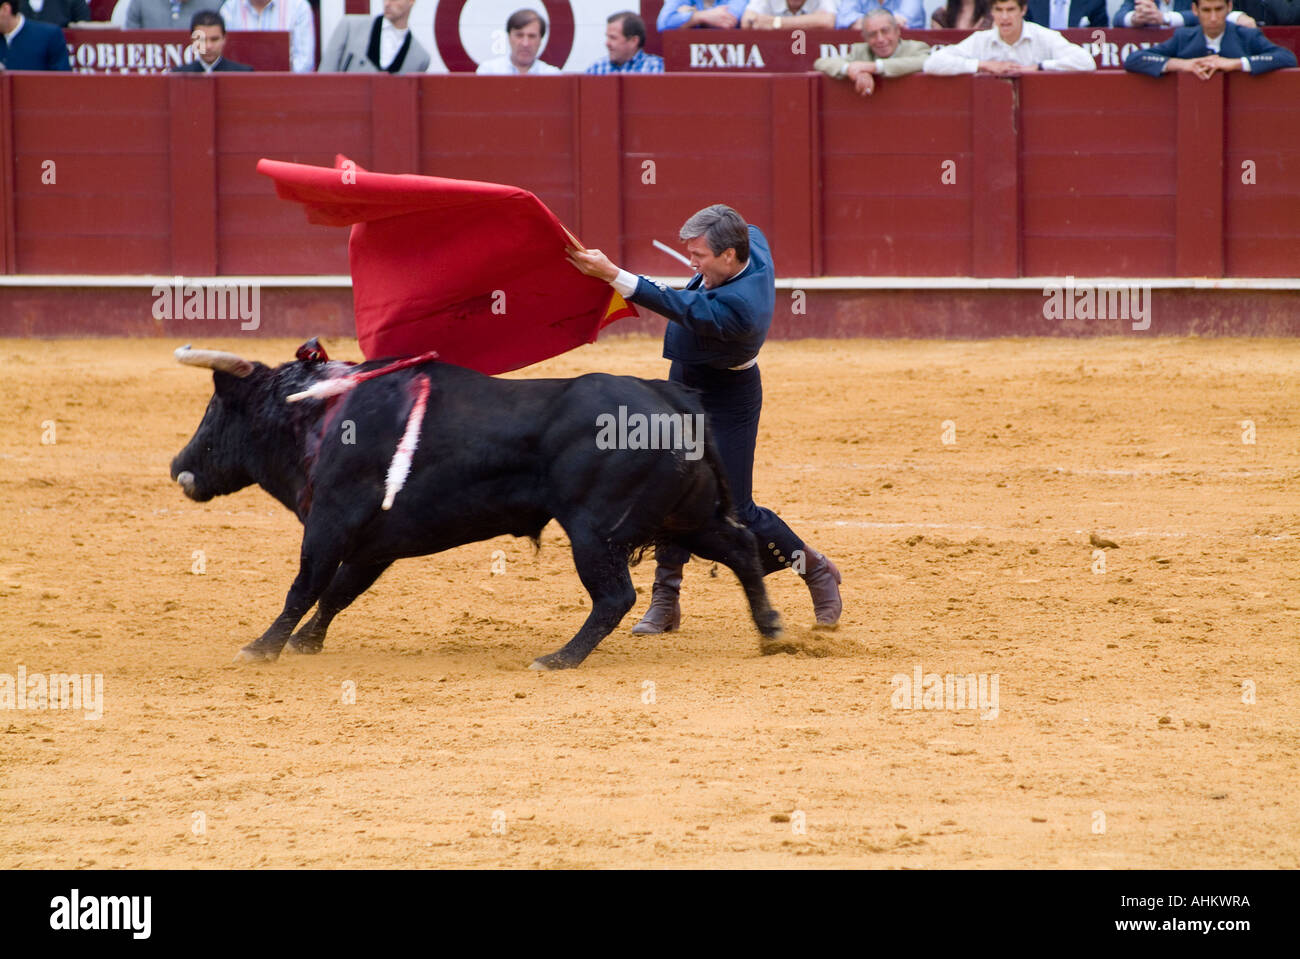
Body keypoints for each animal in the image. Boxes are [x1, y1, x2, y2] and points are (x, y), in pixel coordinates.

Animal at [169, 343, 783, 669]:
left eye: (218, 409)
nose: (179, 467)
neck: (319, 415)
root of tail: (668, 396)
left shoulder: (330, 523)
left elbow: (306, 585)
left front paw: (262, 647)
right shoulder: (374, 544)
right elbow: (339, 591)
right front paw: (304, 644)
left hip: (595, 532)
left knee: (615, 597)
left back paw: (559, 658)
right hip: (688, 515)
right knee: (741, 548)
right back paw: (773, 631)